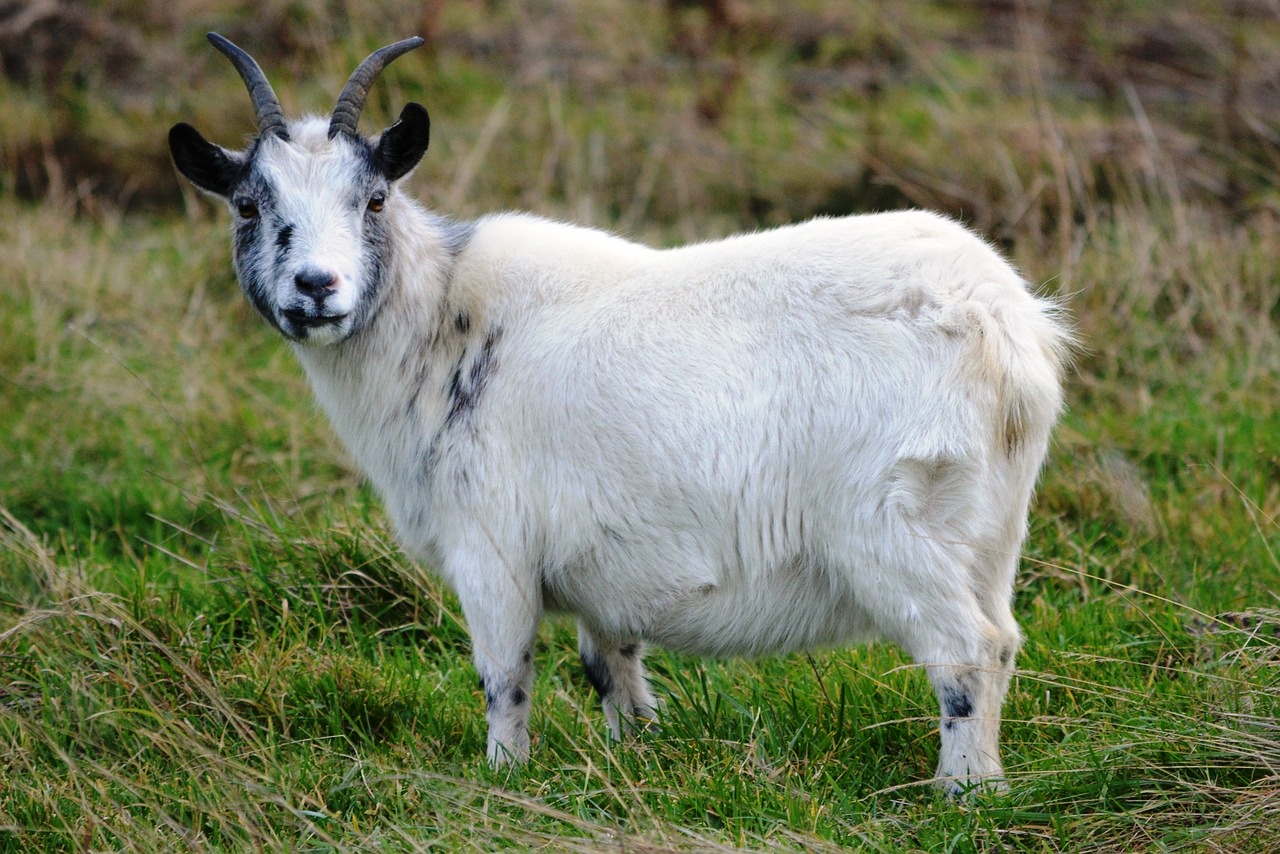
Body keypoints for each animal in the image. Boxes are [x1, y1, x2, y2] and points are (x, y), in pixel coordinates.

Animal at [169, 34, 1069, 796]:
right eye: (248, 205)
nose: (316, 287)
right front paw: (636, 759)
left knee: (967, 650)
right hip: (990, 532)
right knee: (1004, 637)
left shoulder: (492, 548)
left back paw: (961, 793)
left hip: (893, 523)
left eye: (376, 199)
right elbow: (613, 672)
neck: (443, 320)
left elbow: (505, 679)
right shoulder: (608, 576)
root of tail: (1006, 328)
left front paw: (504, 779)